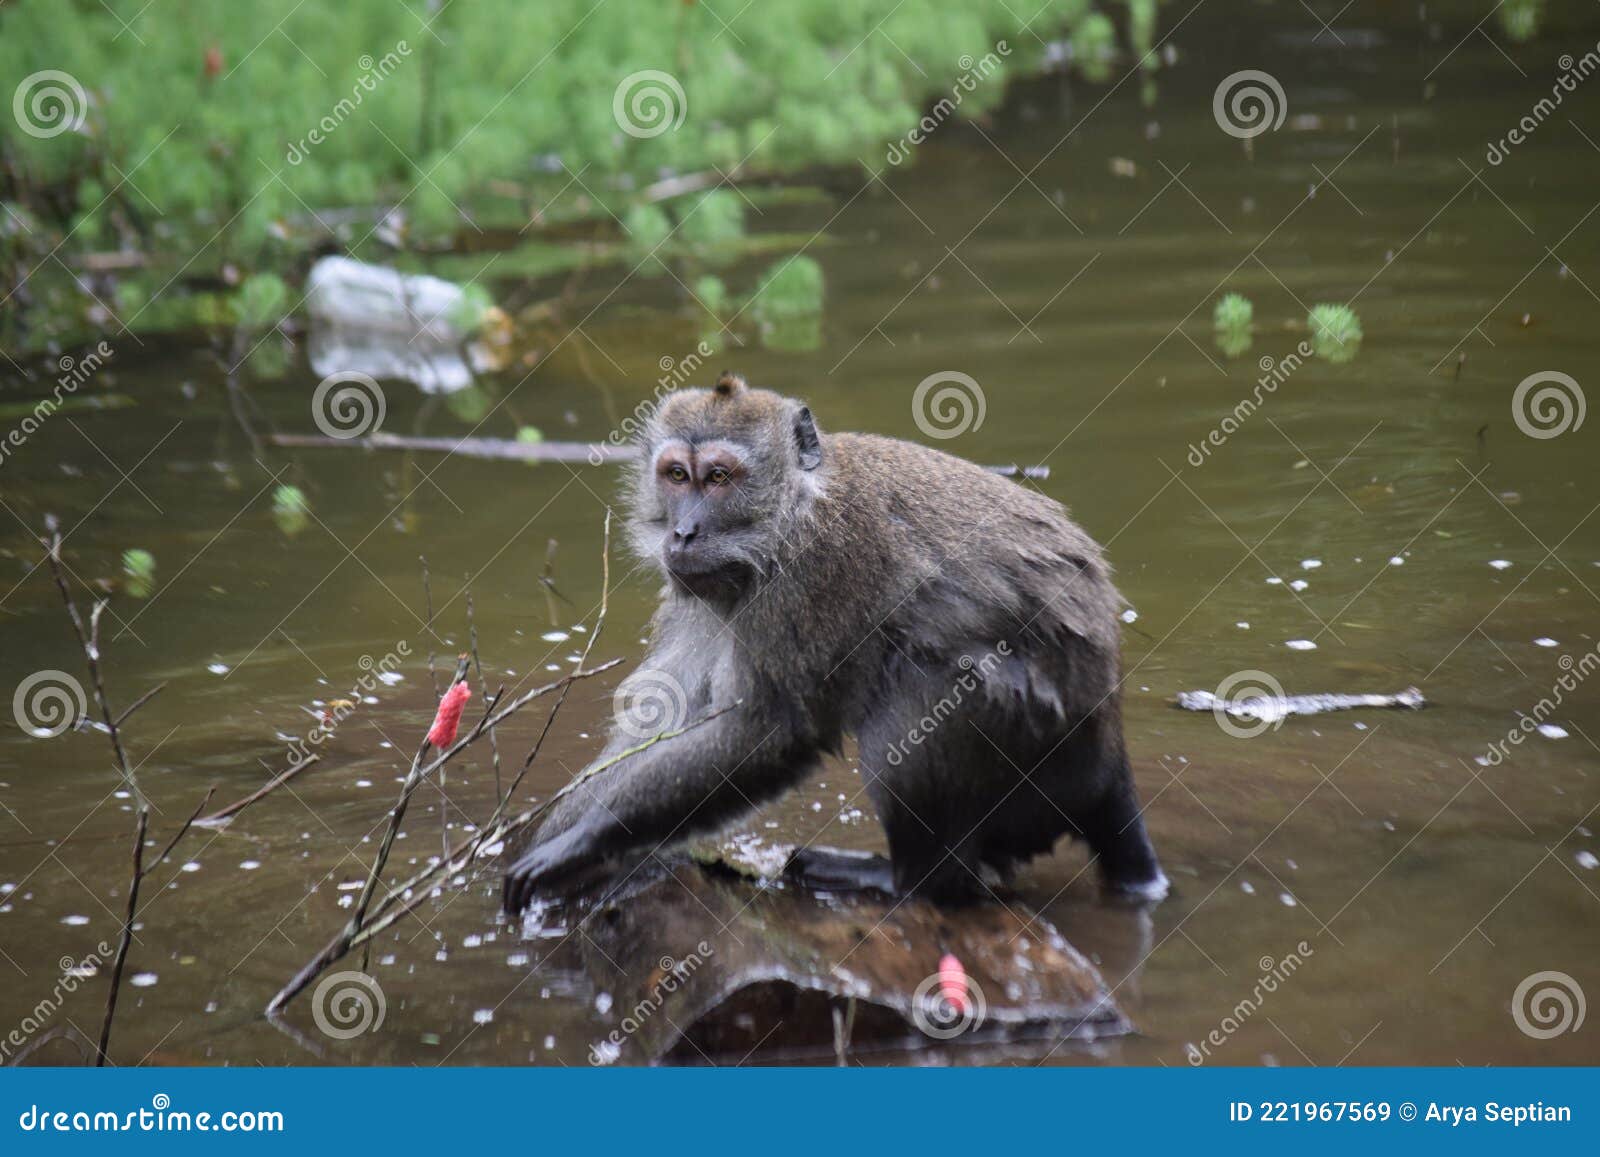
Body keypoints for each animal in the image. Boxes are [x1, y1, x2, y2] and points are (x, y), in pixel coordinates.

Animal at [502, 372, 1167, 912]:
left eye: (719, 478)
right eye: (676, 476)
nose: (685, 531)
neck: (788, 512)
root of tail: (1108, 747)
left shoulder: (815, 570)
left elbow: (773, 730)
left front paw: (586, 840)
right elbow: (667, 709)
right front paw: (557, 832)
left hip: (1034, 735)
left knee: (921, 687)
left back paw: (907, 878)